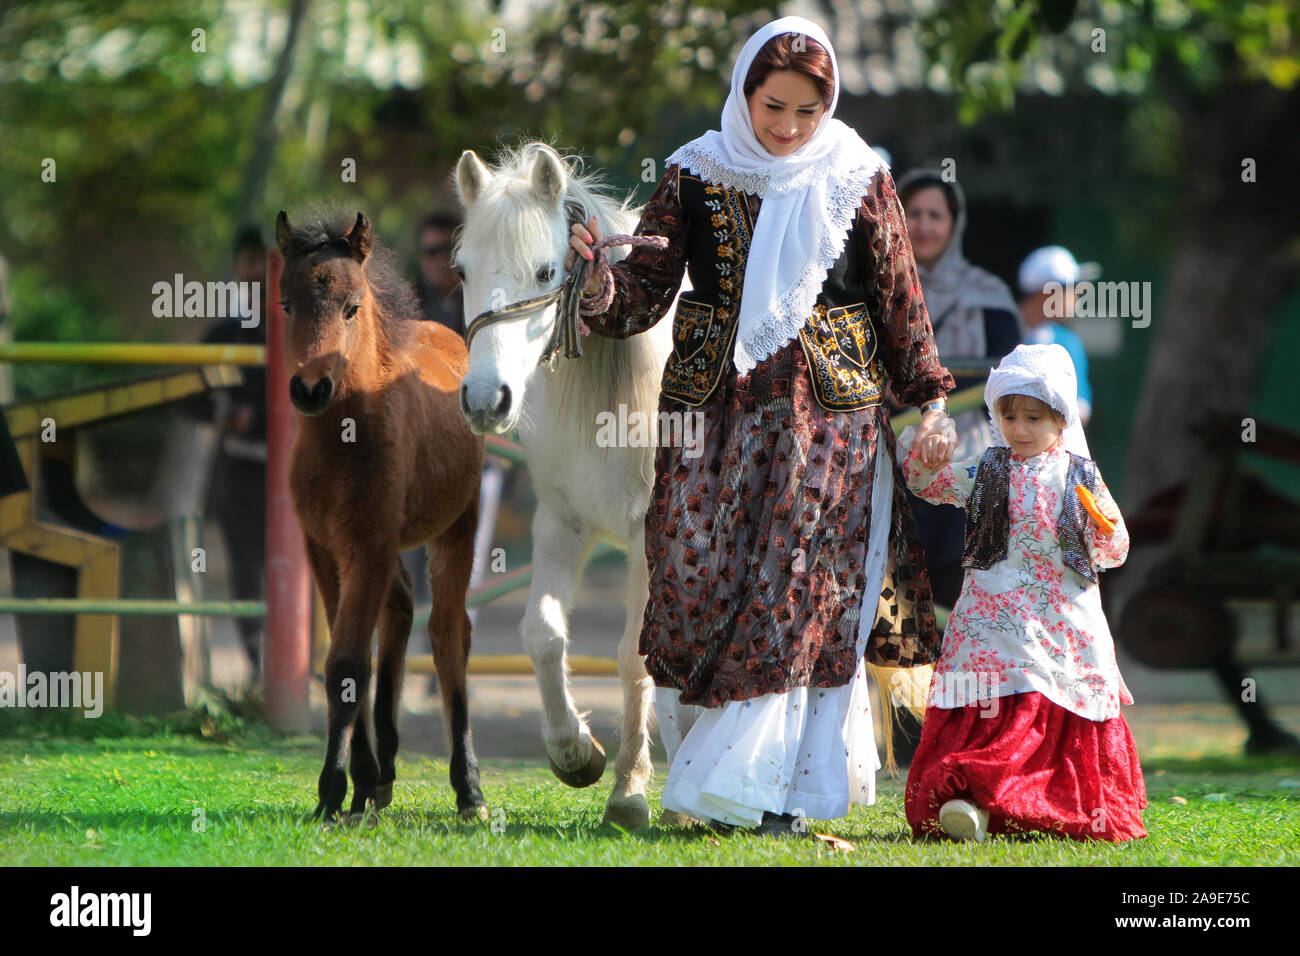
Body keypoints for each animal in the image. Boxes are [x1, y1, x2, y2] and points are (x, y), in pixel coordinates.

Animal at [275, 207, 488, 823]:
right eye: (287, 304)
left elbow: (347, 662)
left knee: (447, 632)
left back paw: (468, 787)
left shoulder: (367, 542)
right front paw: (358, 781)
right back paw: (383, 772)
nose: (311, 388)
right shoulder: (325, 546)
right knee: (398, 610)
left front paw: (331, 790)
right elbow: (350, 662)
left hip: (458, 523)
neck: (344, 438)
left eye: (350, 307)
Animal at [453, 143, 678, 828]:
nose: (486, 400)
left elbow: (635, 656)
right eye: (463, 271)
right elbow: (542, 635)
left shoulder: (647, 541)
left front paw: (629, 792)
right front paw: (575, 752)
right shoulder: (560, 523)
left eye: (547, 271)